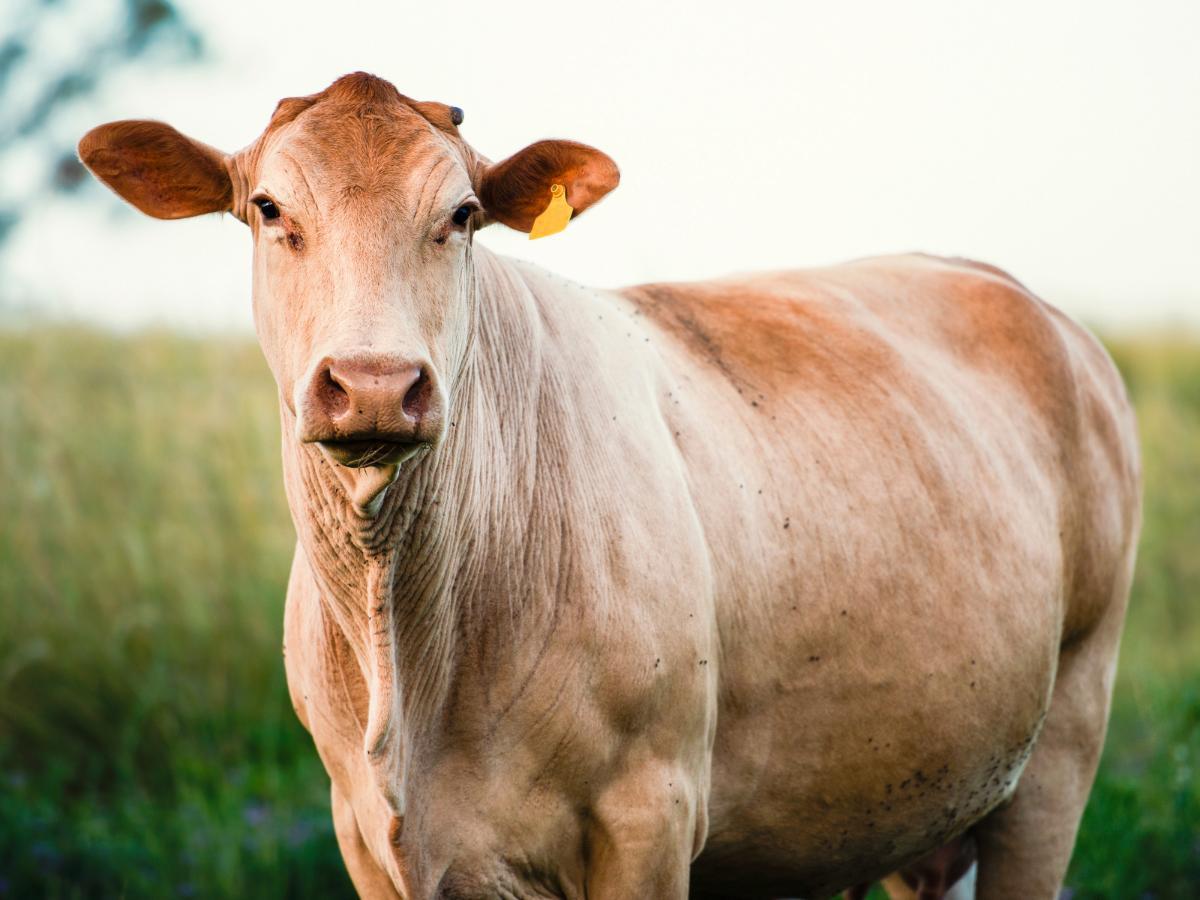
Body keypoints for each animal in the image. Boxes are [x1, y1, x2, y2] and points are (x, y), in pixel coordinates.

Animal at [79, 72, 1141, 899]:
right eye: (269, 208)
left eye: (461, 215)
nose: (375, 383)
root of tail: (1021, 297)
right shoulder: (364, 835)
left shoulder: (652, 813)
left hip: (1065, 740)